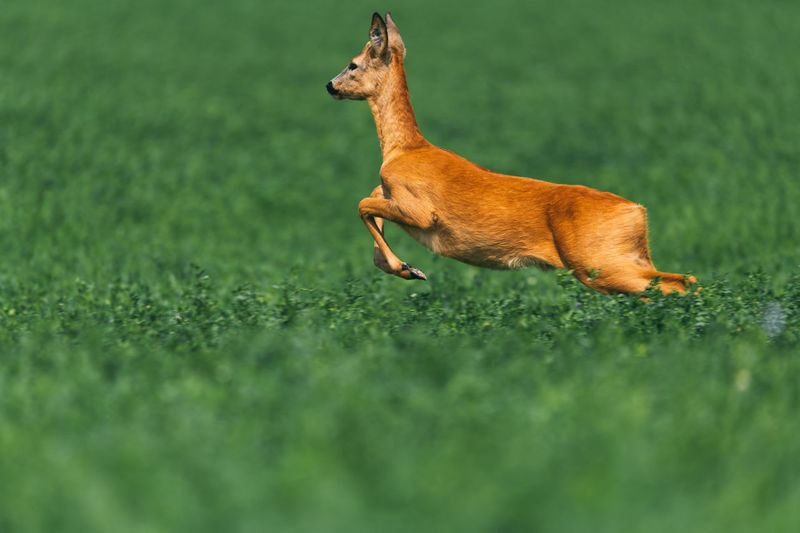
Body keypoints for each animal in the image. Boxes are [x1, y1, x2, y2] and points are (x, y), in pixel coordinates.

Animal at [326, 12, 696, 295]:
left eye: (353, 64)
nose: (330, 85)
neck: (402, 149)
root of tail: (638, 212)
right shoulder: (393, 195)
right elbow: (372, 203)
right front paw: (408, 268)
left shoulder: (421, 212)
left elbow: (362, 204)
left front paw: (409, 269)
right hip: (626, 258)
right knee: (678, 280)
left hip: (597, 263)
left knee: (678, 283)